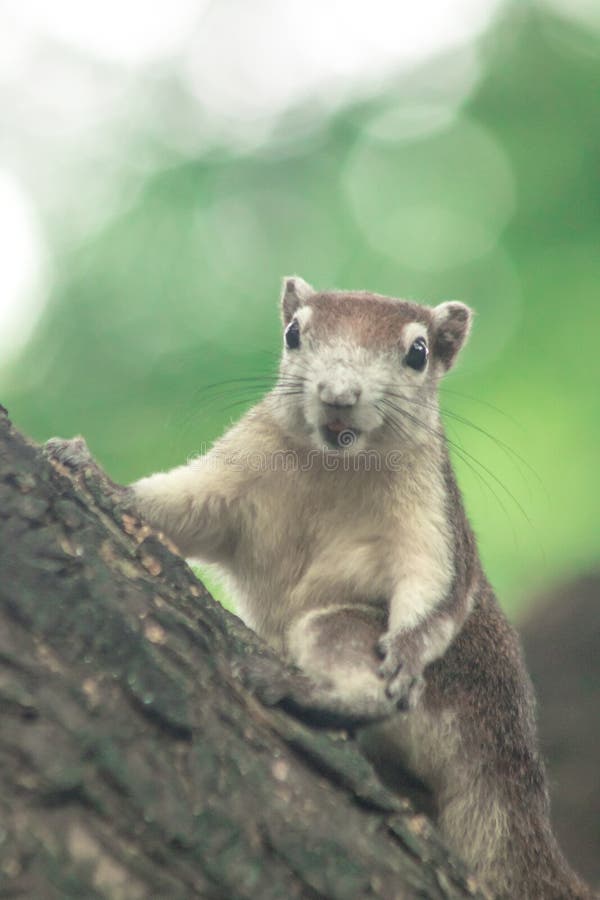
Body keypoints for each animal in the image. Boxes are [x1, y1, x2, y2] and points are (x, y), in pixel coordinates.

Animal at [47, 278, 593, 899]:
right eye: (293, 333)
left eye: (419, 352)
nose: (338, 393)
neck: (334, 464)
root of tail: (513, 768)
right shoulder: (236, 476)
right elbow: (182, 509)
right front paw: (94, 475)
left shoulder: (433, 518)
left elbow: (438, 588)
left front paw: (407, 647)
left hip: (415, 670)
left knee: (366, 683)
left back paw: (300, 691)